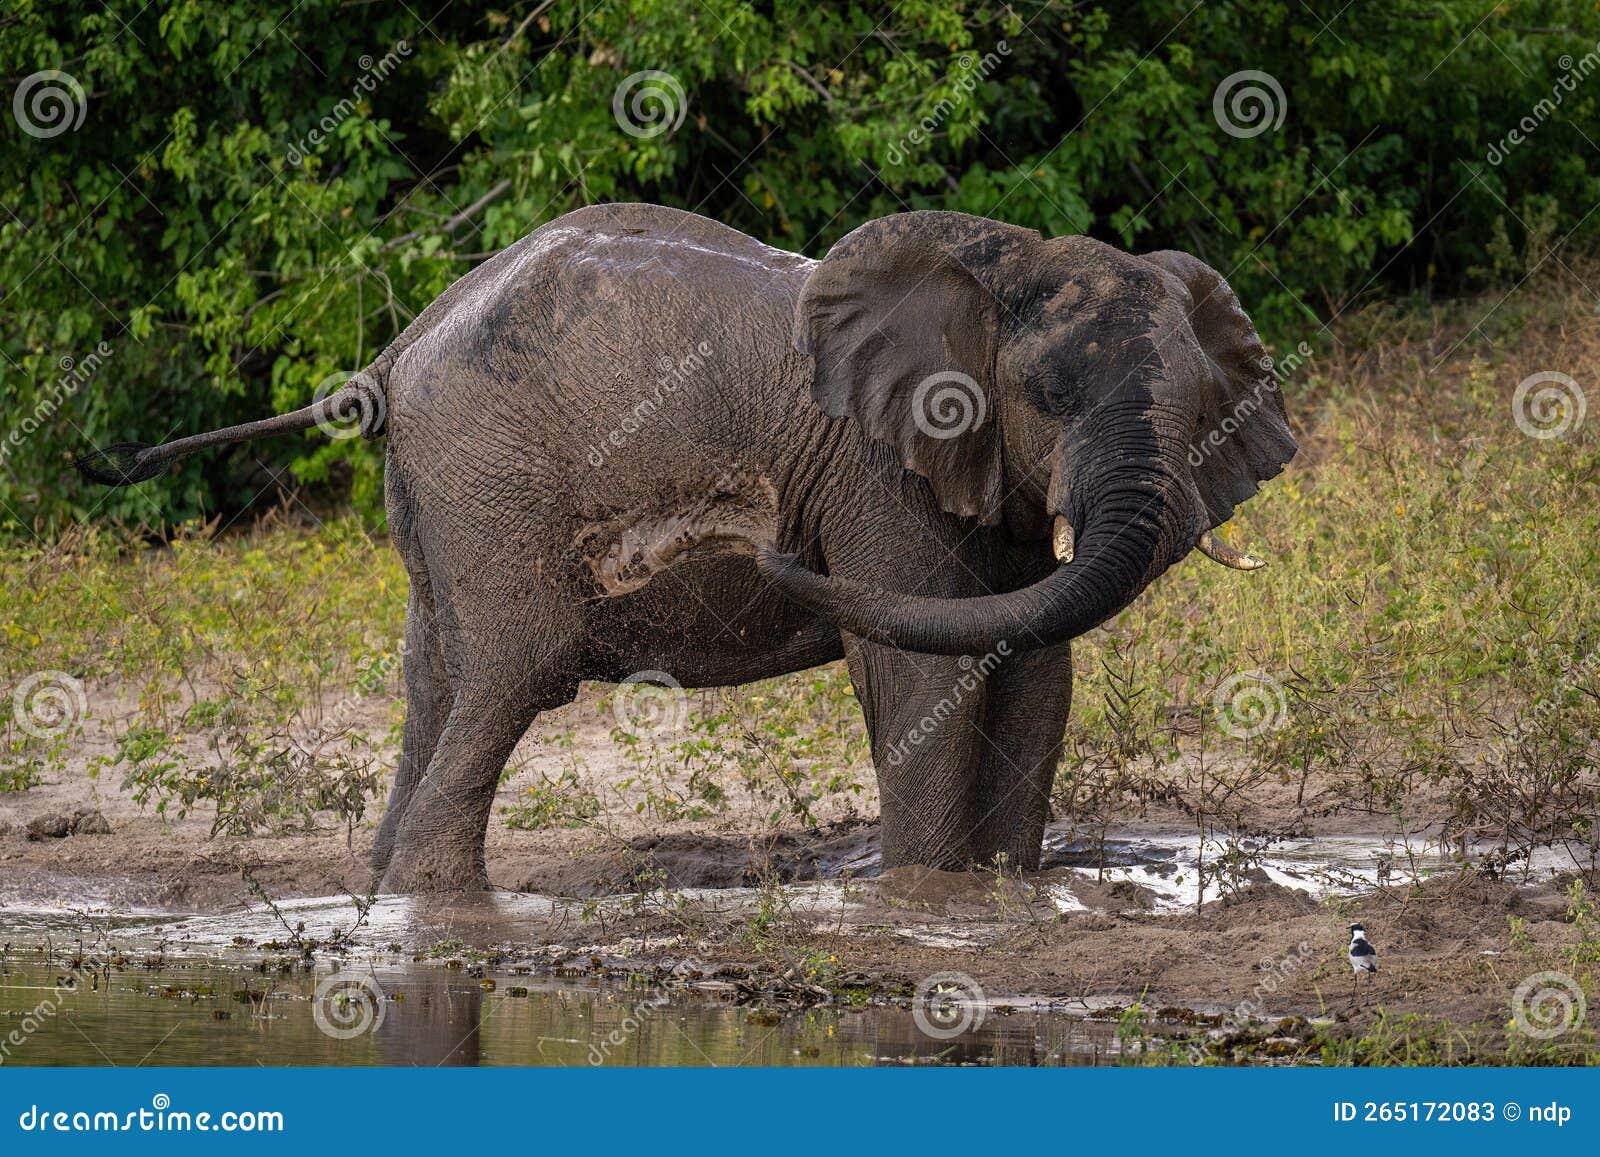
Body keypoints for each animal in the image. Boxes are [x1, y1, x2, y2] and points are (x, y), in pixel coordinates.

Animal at [78, 203, 1296, 893]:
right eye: (1048, 395)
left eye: (1204, 410)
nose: (759, 527)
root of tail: (392, 351)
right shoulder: (878, 465)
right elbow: (928, 676)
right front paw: (926, 904)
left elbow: (1037, 671)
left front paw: (1004, 894)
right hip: (493, 478)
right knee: (512, 675)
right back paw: (434, 904)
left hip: (443, 493)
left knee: (437, 679)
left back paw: (387, 884)